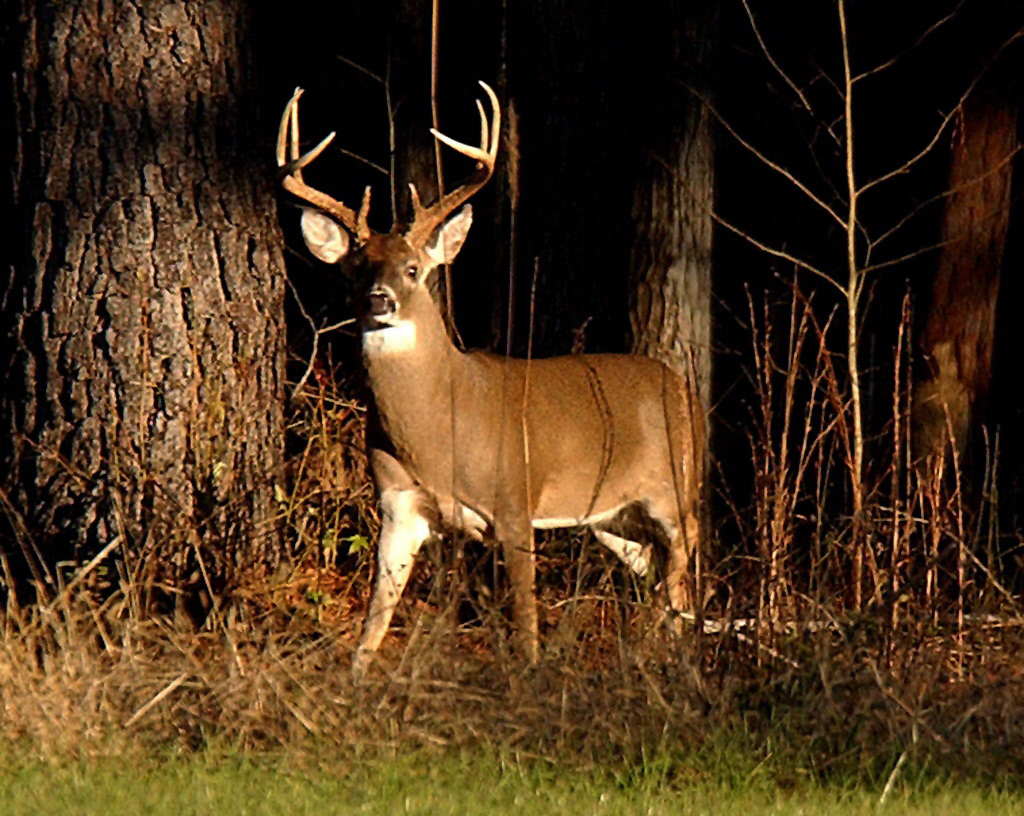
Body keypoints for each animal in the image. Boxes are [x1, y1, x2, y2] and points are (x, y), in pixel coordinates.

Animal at [277, 82, 705, 676]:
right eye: (355, 269)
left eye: (413, 269)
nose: (379, 300)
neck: (441, 429)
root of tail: (682, 386)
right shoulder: (398, 507)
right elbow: (374, 619)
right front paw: (353, 679)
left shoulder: (514, 500)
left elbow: (525, 619)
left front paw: (529, 676)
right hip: (610, 516)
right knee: (653, 569)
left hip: (677, 487)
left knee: (686, 565)